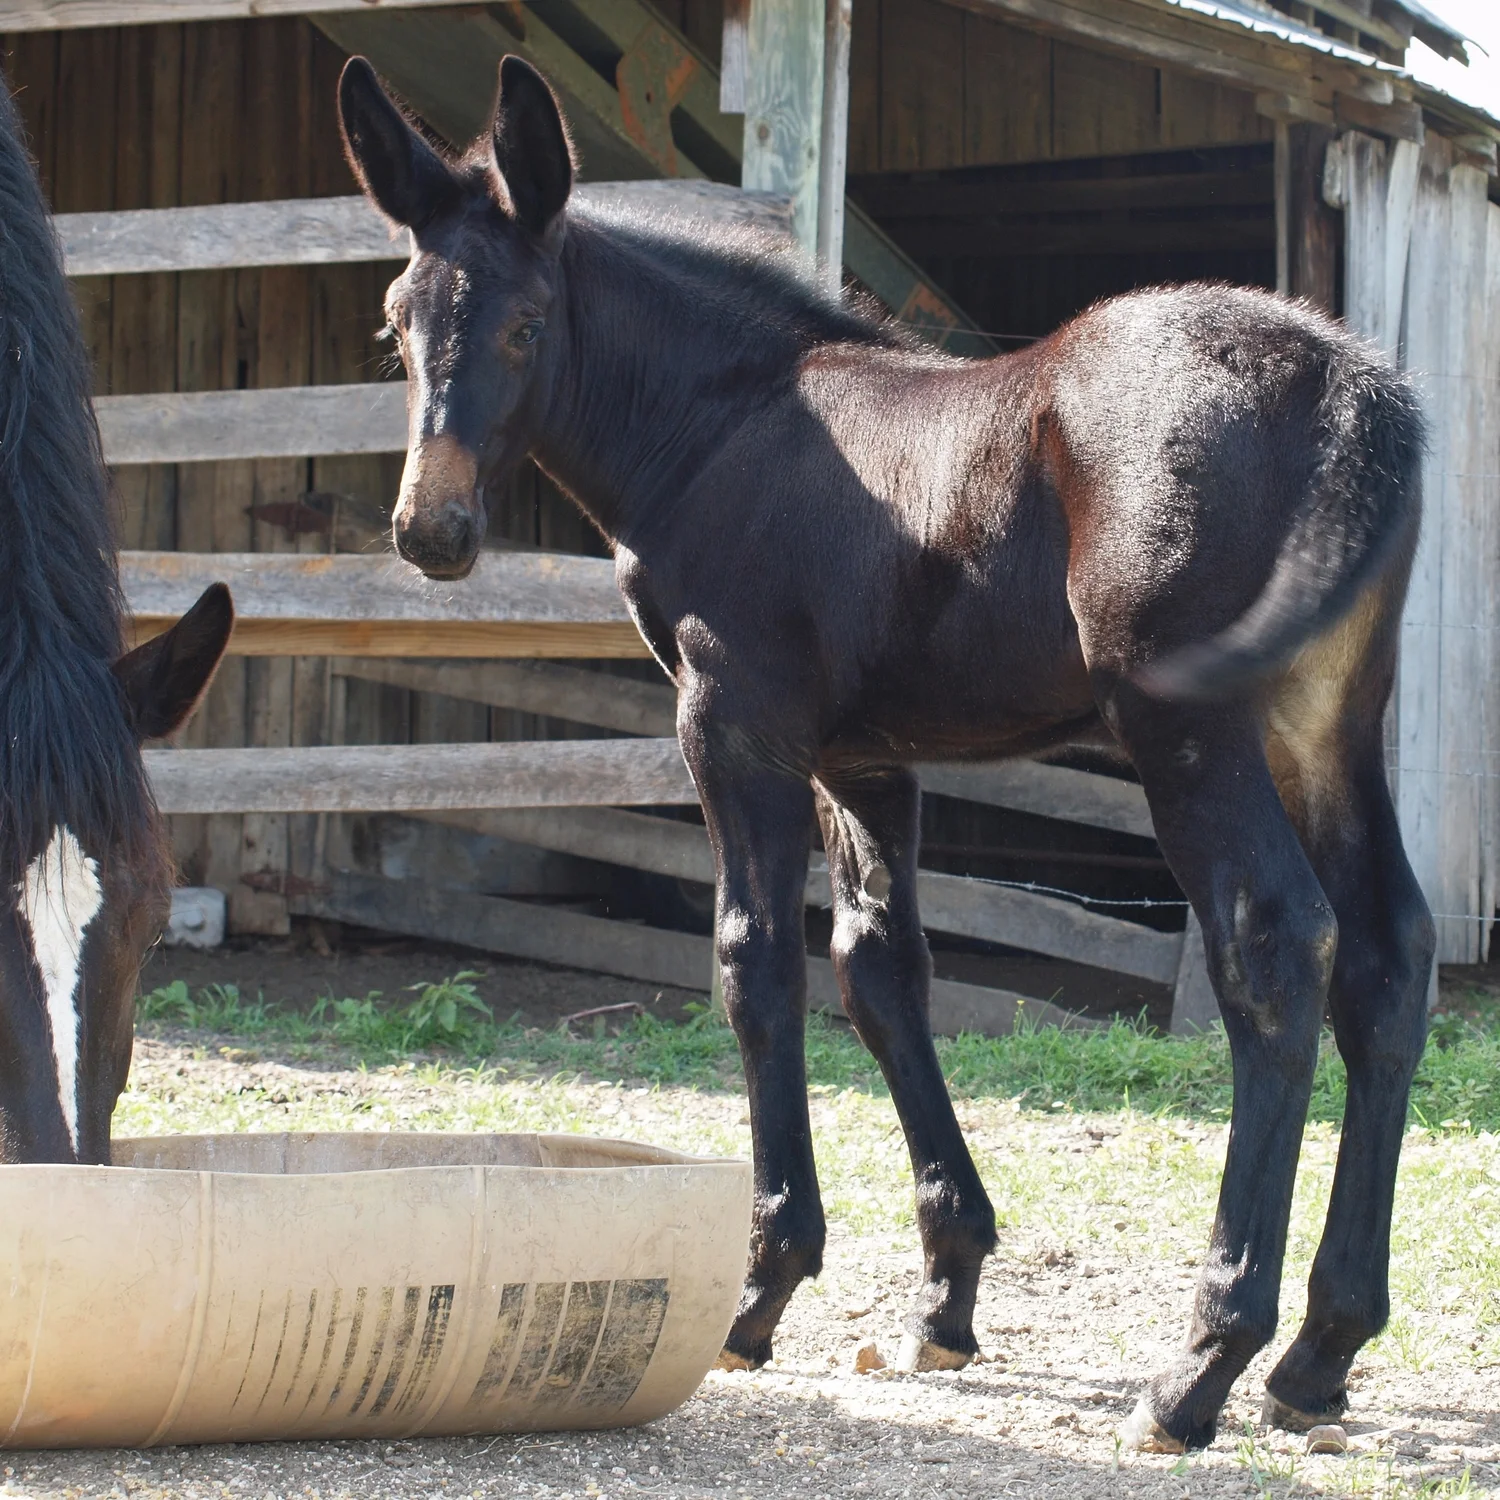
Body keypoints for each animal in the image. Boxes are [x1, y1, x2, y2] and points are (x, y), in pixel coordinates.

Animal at [337, 54, 1433, 1452]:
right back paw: (1319, 1354)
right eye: (397, 321)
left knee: (1278, 950)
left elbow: (755, 969)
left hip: (1193, 731)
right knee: (1390, 957)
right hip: (1329, 727)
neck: (714, 432)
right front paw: (946, 1293)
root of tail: (1351, 395)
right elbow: (881, 971)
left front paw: (761, 1287)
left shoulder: (733, 724)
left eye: (528, 324)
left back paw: (1200, 1366)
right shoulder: (864, 758)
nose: (432, 531)